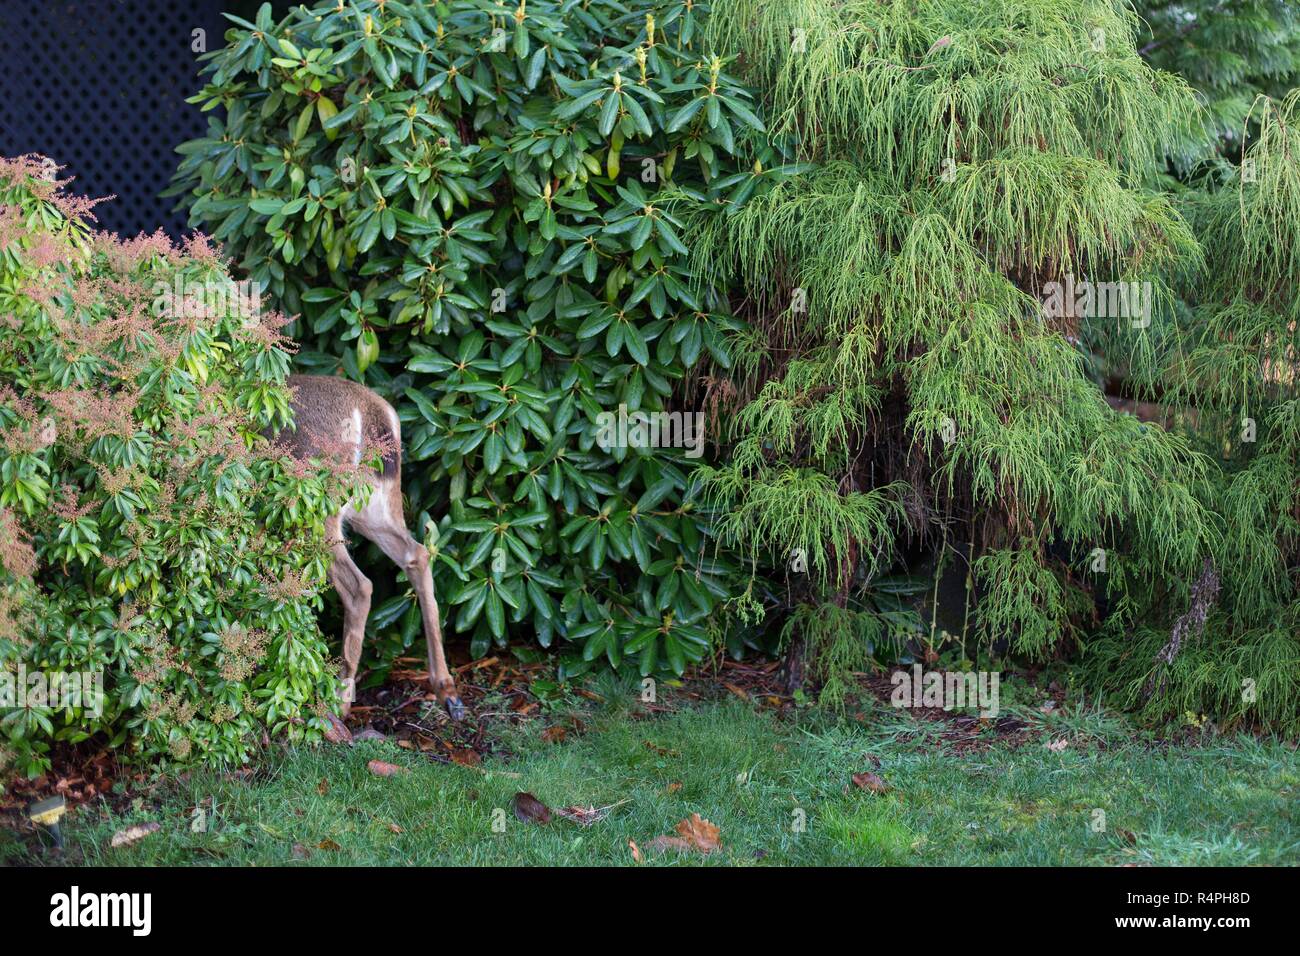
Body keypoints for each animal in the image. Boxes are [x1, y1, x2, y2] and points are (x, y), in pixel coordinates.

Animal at [270, 374, 464, 721]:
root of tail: (375, 411)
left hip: (313, 500)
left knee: (359, 585)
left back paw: (340, 699)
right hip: (375, 503)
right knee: (417, 554)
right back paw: (447, 690)